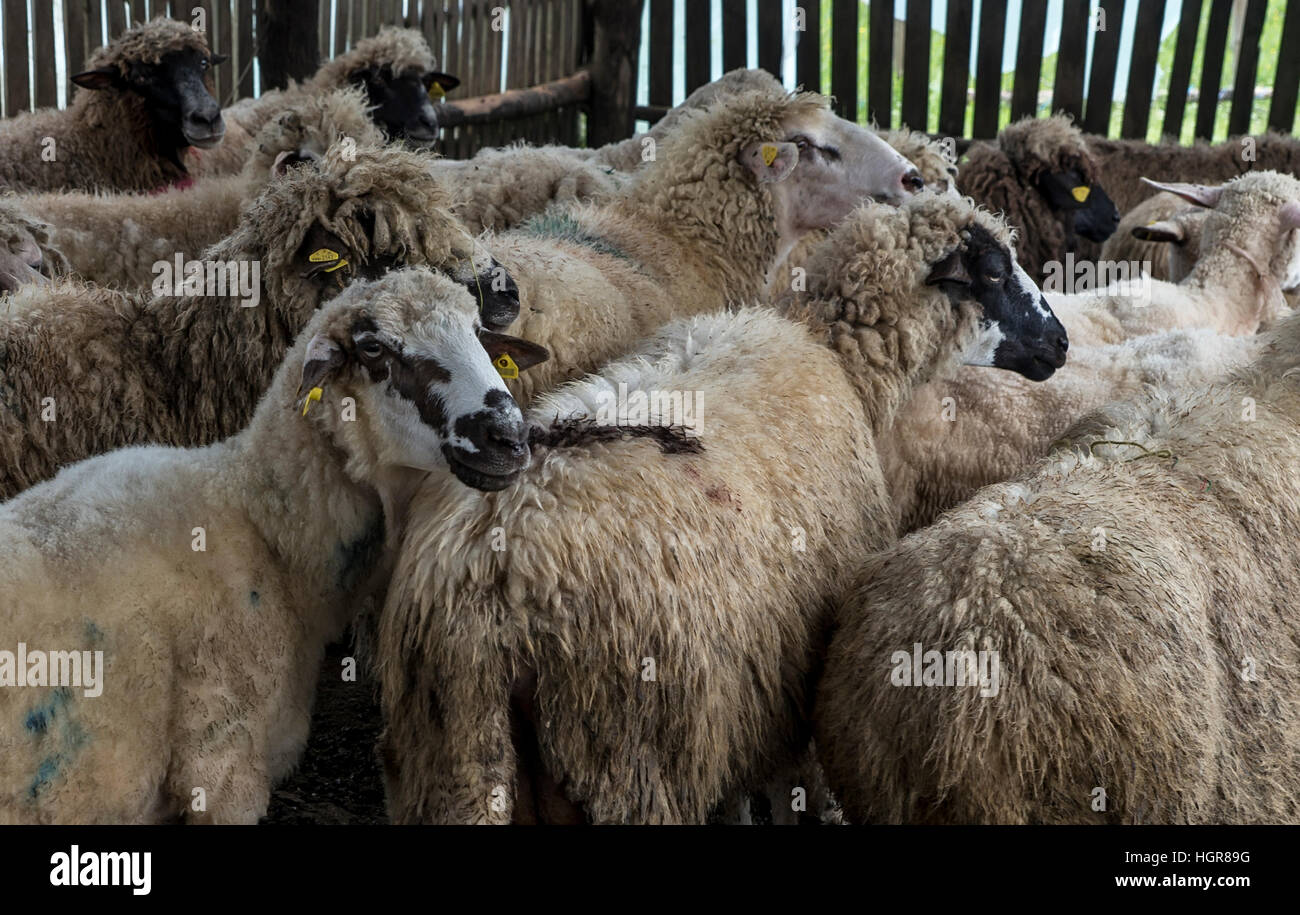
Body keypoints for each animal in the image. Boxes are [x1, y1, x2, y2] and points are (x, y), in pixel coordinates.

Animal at [375, 191, 1070, 824]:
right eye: (994, 271)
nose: (1059, 344)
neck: (836, 355)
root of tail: (488, 595)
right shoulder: (785, 677)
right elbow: (790, 789)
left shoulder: (739, 693)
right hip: (628, 758)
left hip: (451, 762)